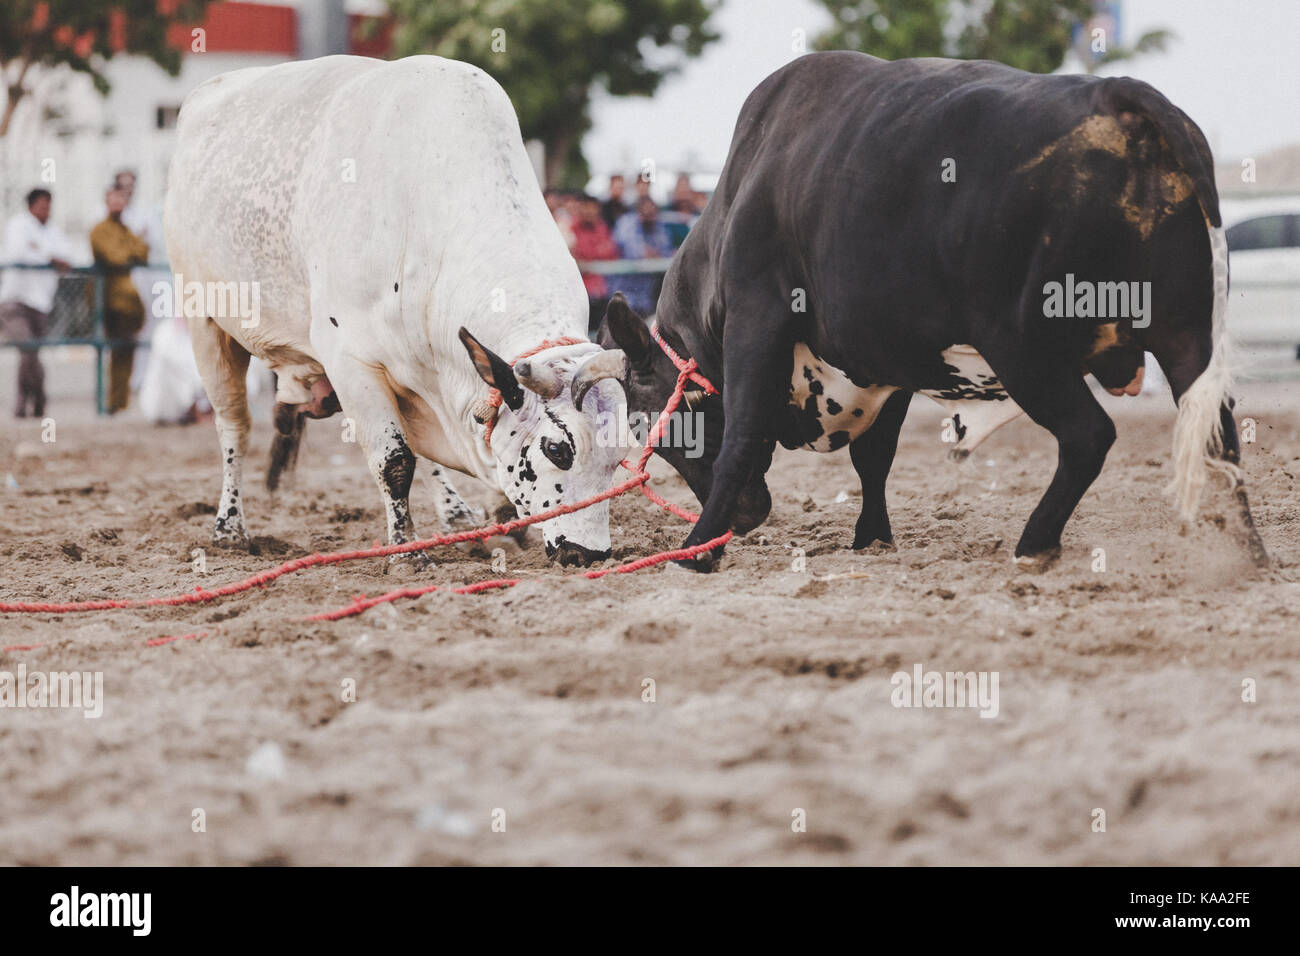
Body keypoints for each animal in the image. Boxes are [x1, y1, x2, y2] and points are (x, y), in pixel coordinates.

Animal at [164, 55, 629, 568]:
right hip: (205, 322)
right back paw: (229, 527)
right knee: (235, 428)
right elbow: (394, 461)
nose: (588, 554)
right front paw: (406, 552)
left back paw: (457, 515)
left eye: (619, 453)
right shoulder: (350, 361)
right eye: (557, 448)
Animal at [580, 52, 1268, 572]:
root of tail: (1121, 95)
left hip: (1022, 342)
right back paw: (1244, 550)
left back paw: (1034, 546)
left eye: (648, 420)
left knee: (1088, 434)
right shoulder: (886, 357)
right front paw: (871, 539)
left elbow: (742, 439)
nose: (749, 517)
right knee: (1220, 438)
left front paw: (697, 550)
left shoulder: (759, 318)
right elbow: (875, 456)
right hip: (1188, 336)